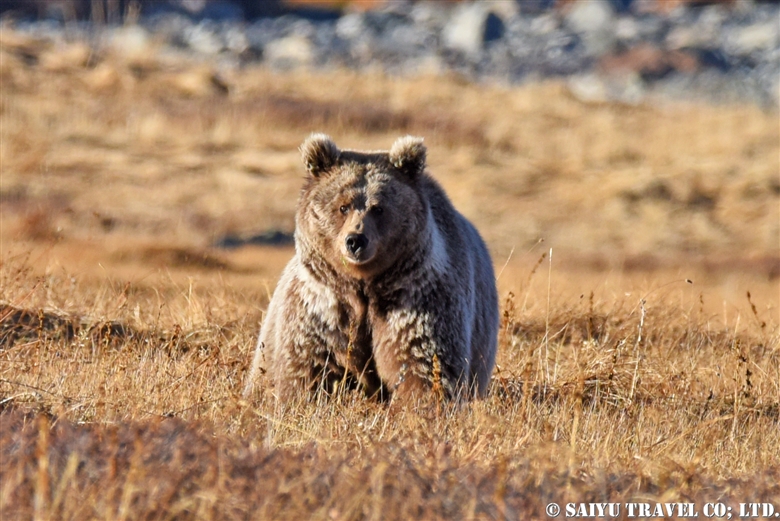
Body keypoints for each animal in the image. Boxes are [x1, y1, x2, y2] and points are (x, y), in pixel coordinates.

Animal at [243, 134, 498, 401]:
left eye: (378, 208)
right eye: (343, 206)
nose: (355, 240)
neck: (363, 284)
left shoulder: (417, 298)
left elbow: (424, 367)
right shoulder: (323, 307)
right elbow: (307, 367)